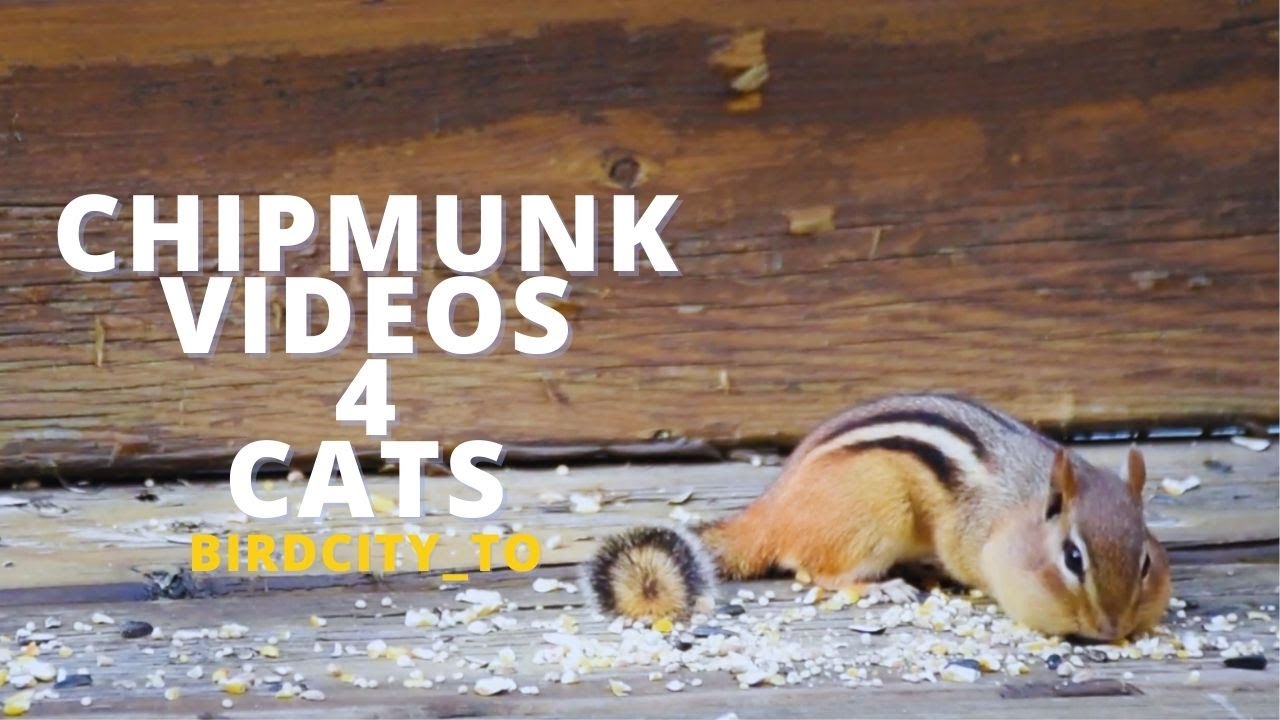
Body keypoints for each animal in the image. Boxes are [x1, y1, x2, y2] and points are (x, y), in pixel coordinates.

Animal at [584, 393, 1172, 642]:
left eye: (1146, 560)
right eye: (1072, 557)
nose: (1112, 630)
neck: (1019, 508)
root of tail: (774, 510)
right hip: (873, 513)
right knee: (816, 571)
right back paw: (881, 586)